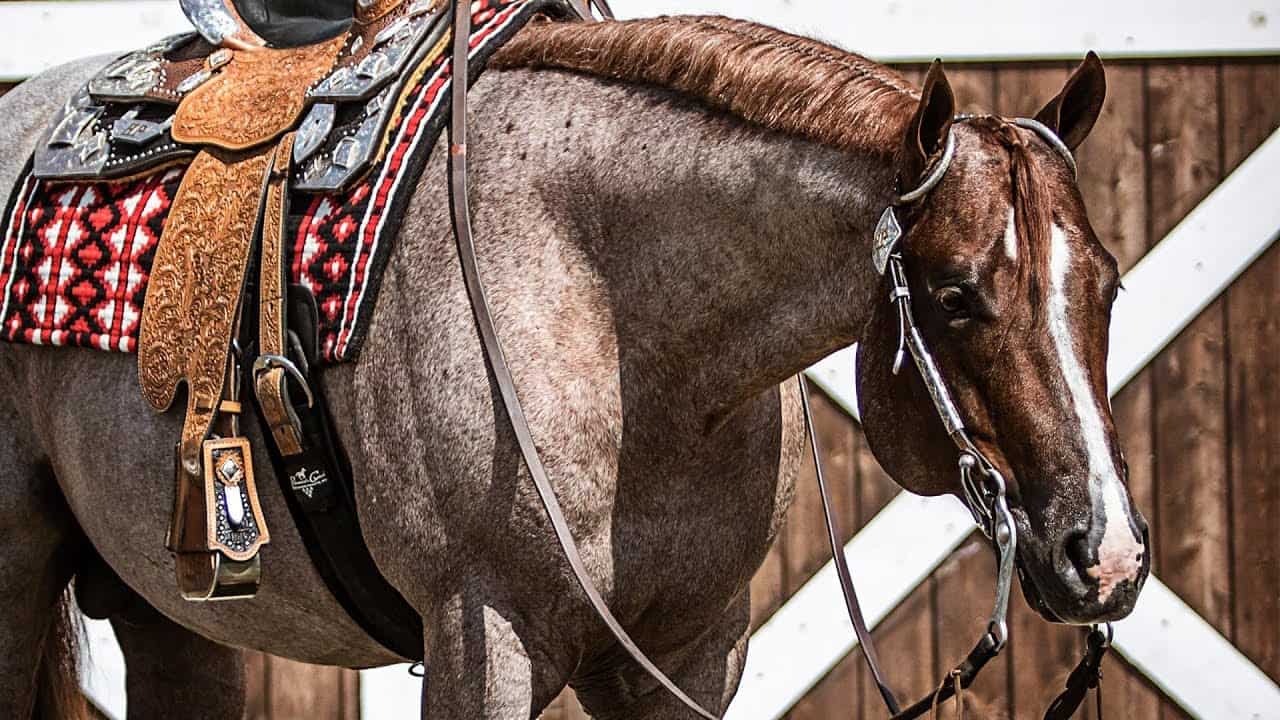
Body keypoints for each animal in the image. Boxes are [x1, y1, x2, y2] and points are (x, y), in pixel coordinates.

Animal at [0, 15, 1150, 719]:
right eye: (954, 293)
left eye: (1108, 284)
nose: (1106, 556)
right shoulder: (483, 640)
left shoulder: (692, 653)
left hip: (167, 610)